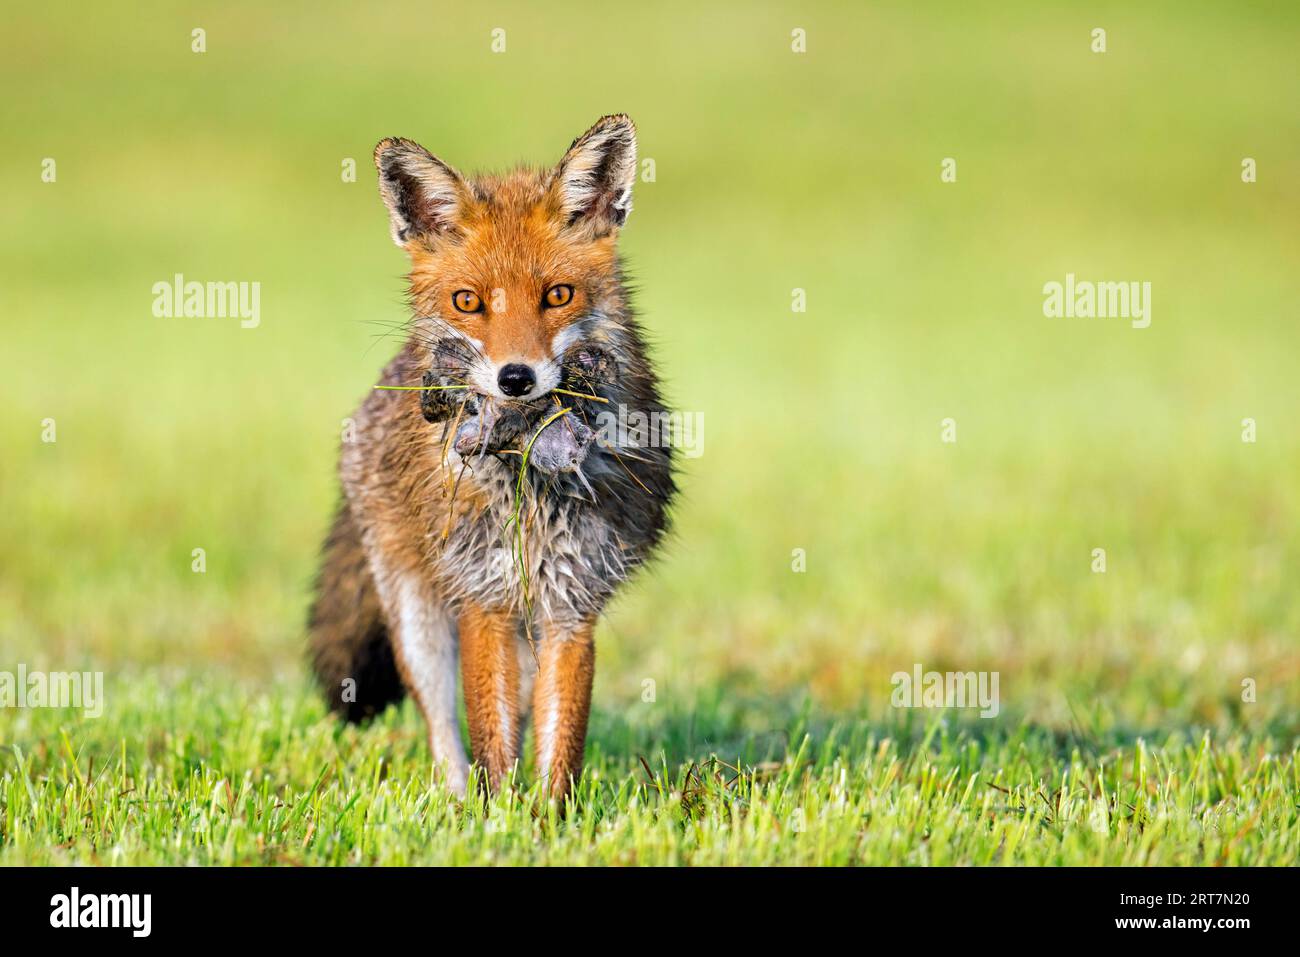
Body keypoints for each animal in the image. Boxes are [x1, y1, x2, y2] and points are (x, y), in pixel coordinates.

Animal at [308, 115, 676, 802]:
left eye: (558, 295)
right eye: (468, 302)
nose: (515, 379)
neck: (528, 487)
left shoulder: (570, 607)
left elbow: (557, 746)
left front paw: (550, 819)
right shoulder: (485, 601)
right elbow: (491, 741)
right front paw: (496, 817)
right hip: (417, 620)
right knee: (442, 732)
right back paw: (453, 804)